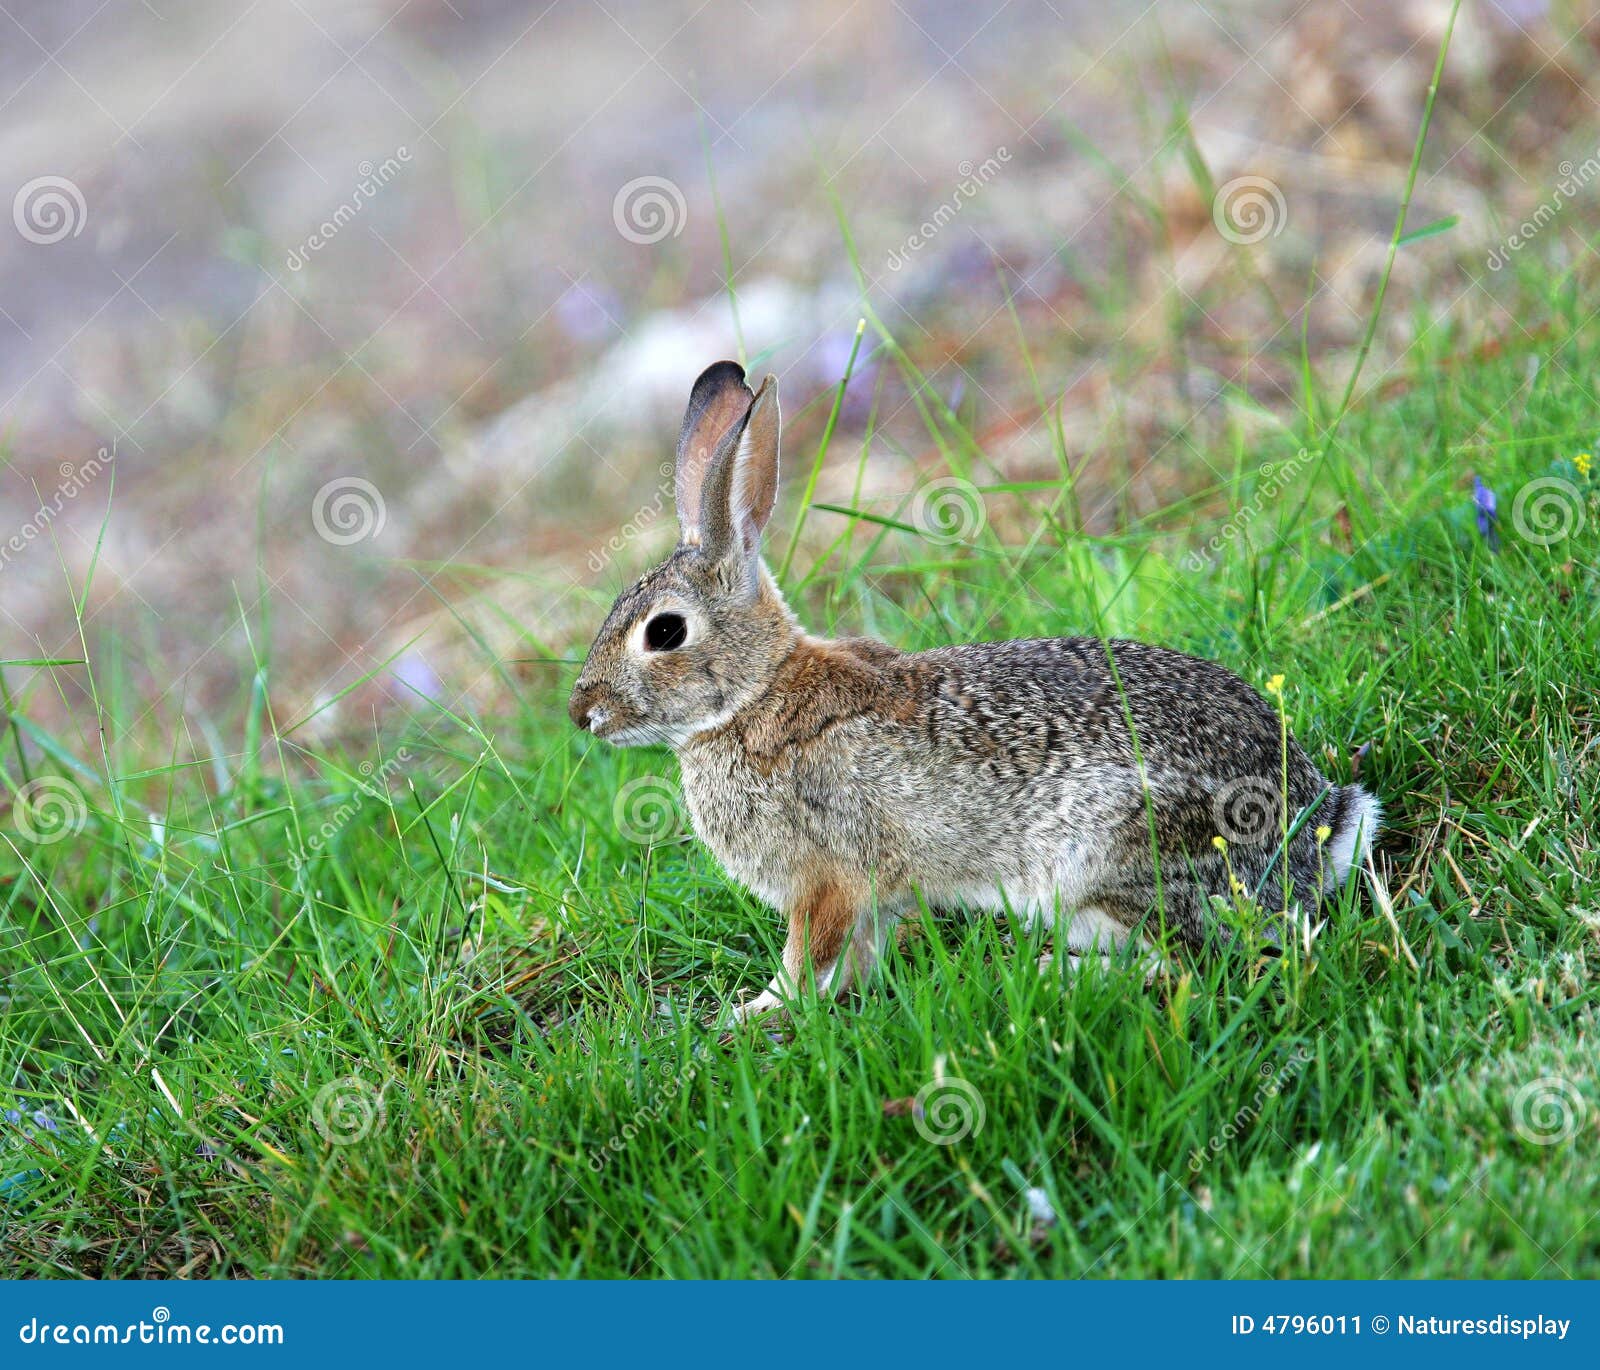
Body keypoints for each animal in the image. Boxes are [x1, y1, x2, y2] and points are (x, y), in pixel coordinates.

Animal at [569, 360, 1381, 1021]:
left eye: (664, 633)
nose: (583, 712)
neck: (753, 693)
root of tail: (1317, 831)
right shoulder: (868, 897)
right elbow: (856, 958)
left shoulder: (825, 879)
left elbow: (808, 959)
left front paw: (753, 1013)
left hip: (1103, 866)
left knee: (1182, 963)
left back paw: (1051, 974)